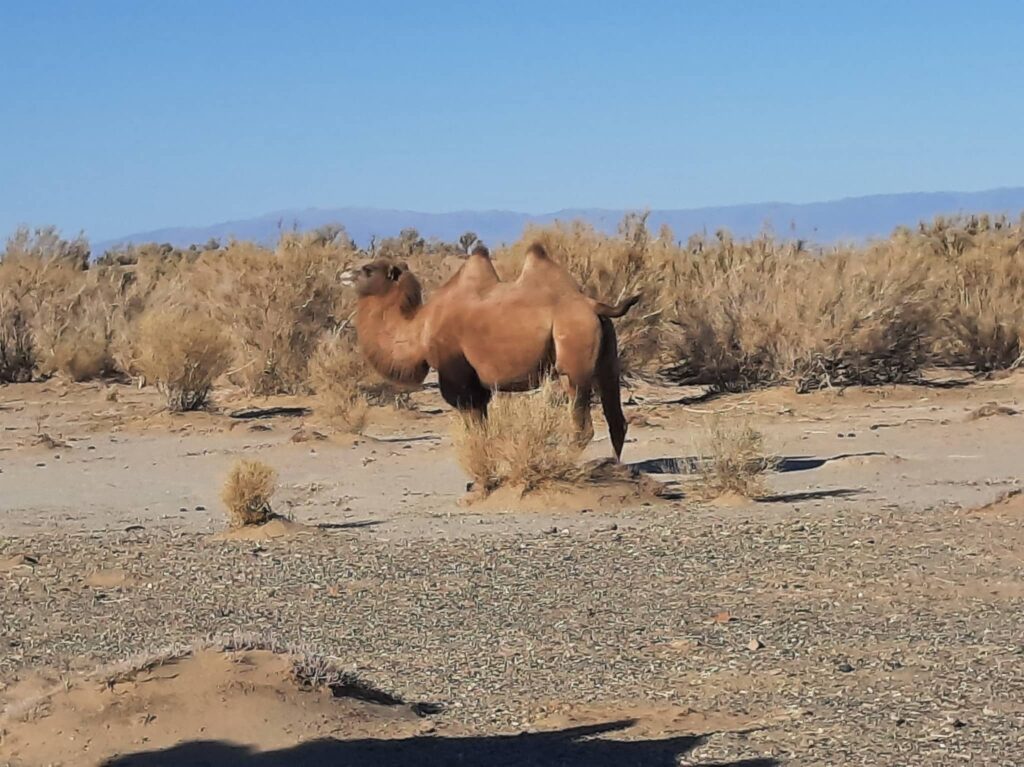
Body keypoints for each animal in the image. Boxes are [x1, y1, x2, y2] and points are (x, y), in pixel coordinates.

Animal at [345, 242, 640, 458]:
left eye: (368, 269)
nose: (345, 273)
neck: (420, 327)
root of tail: (594, 305)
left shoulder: (458, 377)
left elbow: (475, 428)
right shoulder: (478, 385)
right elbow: (483, 428)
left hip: (574, 358)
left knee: (583, 425)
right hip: (607, 358)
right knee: (616, 420)